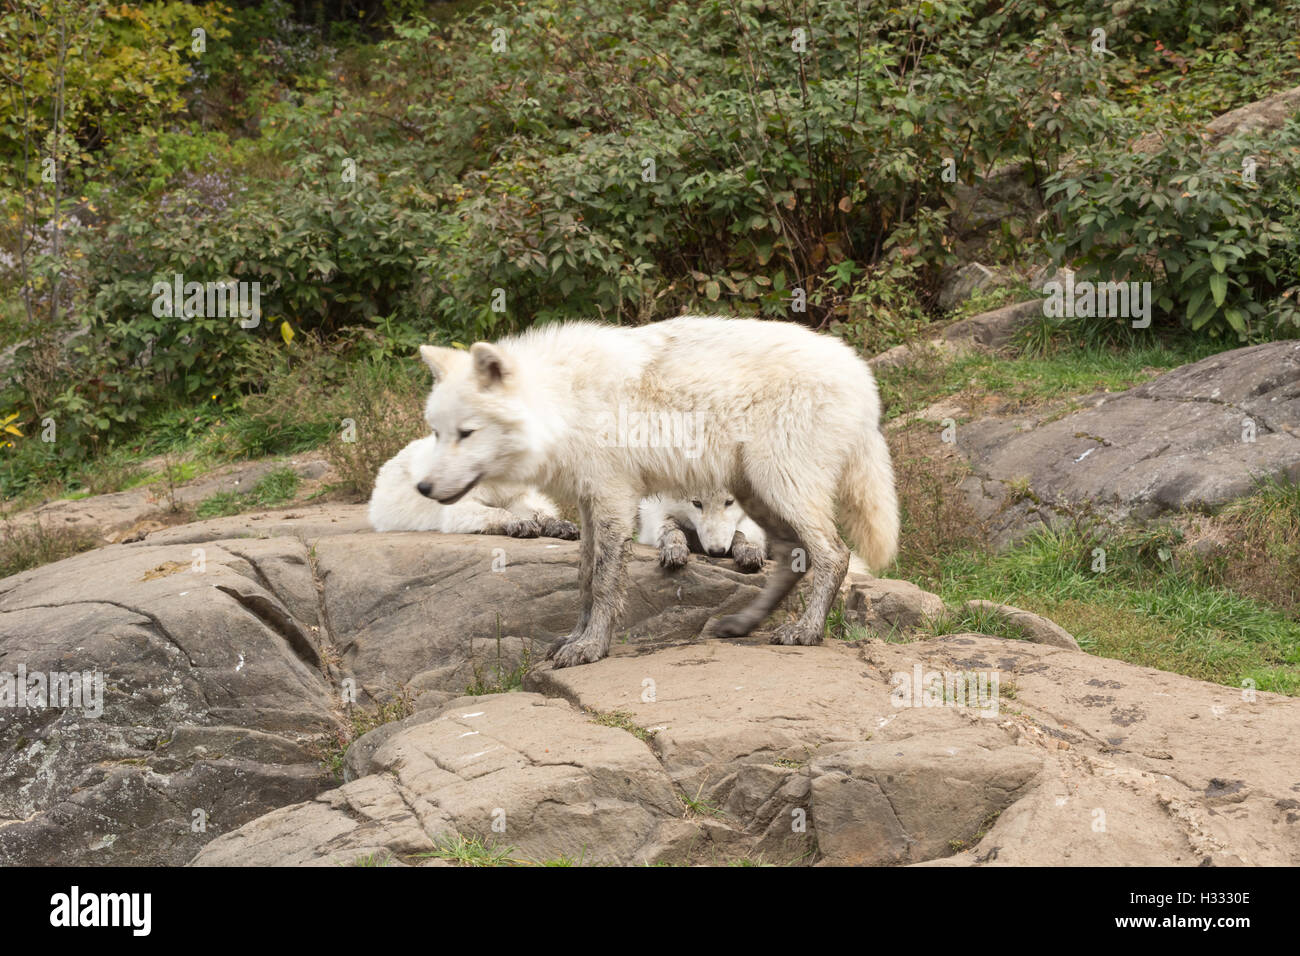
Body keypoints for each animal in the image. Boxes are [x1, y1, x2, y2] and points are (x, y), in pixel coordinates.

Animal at [369, 434, 578, 538]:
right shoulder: (457, 506)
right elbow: (495, 511)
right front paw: (520, 525)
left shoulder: (515, 495)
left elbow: (538, 511)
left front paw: (561, 526)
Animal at [638, 492, 767, 572]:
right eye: (696, 503)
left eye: (730, 502)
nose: (717, 552)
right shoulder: (656, 514)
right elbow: (672, 530)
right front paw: (675, 548)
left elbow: (739, 533)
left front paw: (747, 548)